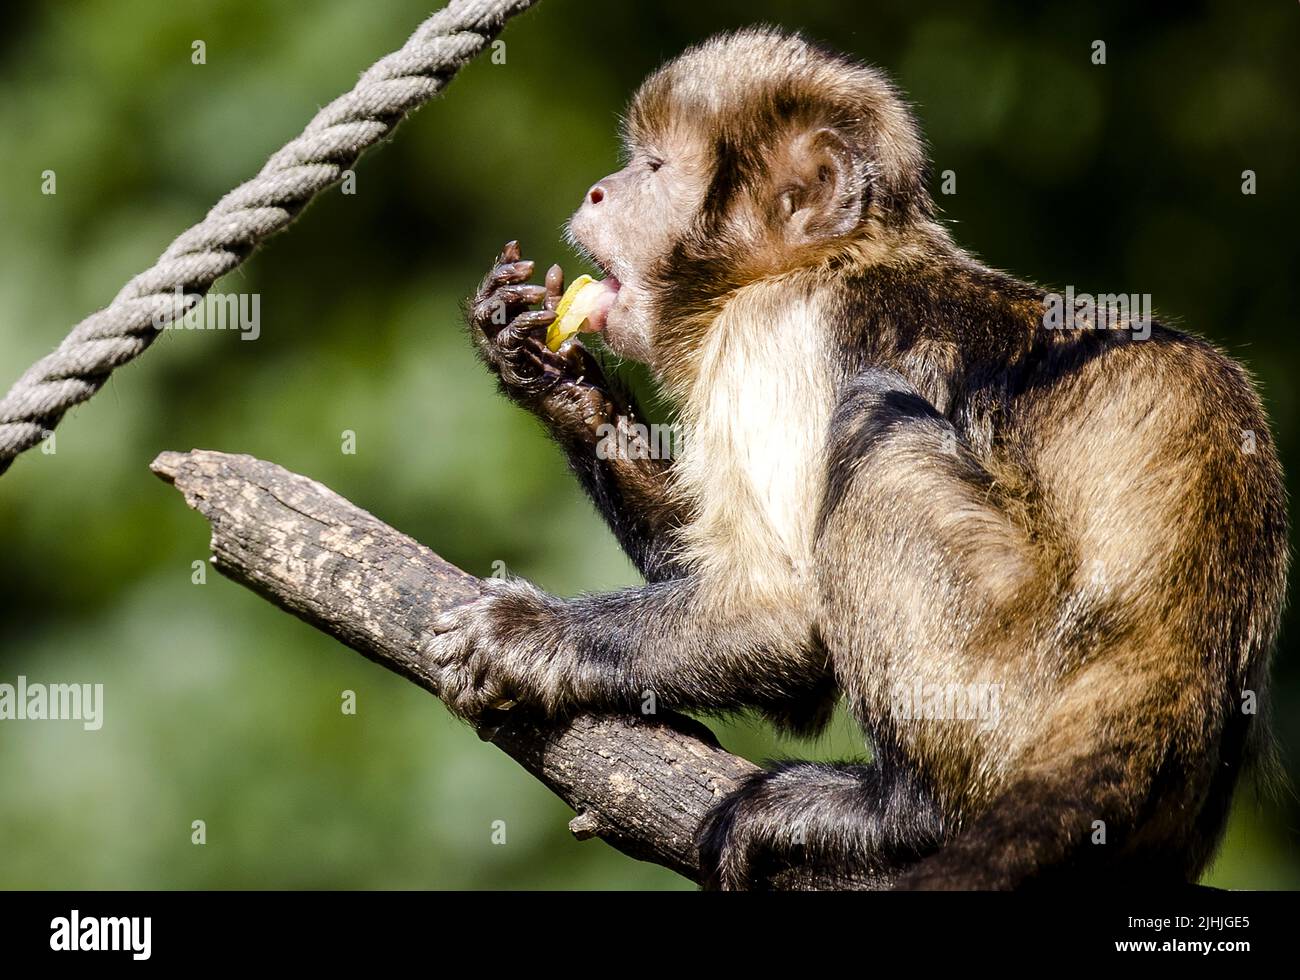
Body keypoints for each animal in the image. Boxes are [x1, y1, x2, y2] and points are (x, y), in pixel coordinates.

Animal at [430, 28, 1288, 890]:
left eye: (654, 167)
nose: (602, 192)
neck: (826, 260)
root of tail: (1171, 652)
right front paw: (554, 379)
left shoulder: (775, 330)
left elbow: (787, 616)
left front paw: (531, 639)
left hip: (1015, 671)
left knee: (876, 426)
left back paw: (910, 813)